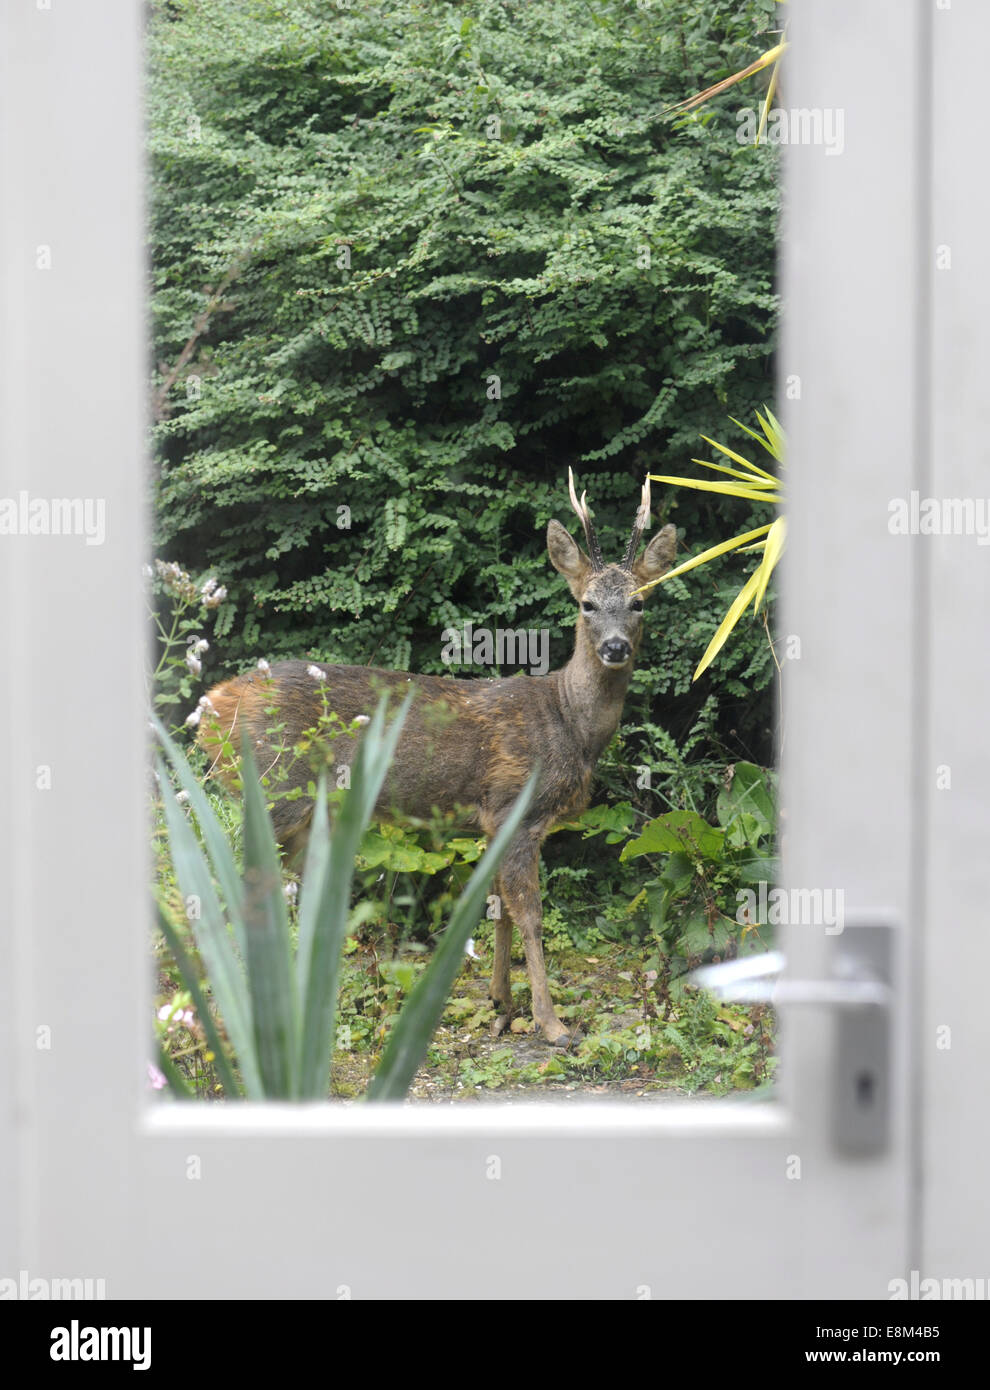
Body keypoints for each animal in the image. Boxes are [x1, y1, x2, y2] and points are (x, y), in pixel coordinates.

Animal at [198, 471, 677, 1046]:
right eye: (586, 603)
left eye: (640, 603)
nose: (614, 648)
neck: (568, 721)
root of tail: (214, 705)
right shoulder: (517, 807)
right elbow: (531, 916)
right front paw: (551, 1023)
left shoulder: (494, 821)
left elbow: (498, 911)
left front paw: (501, 1005)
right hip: (273, 789)